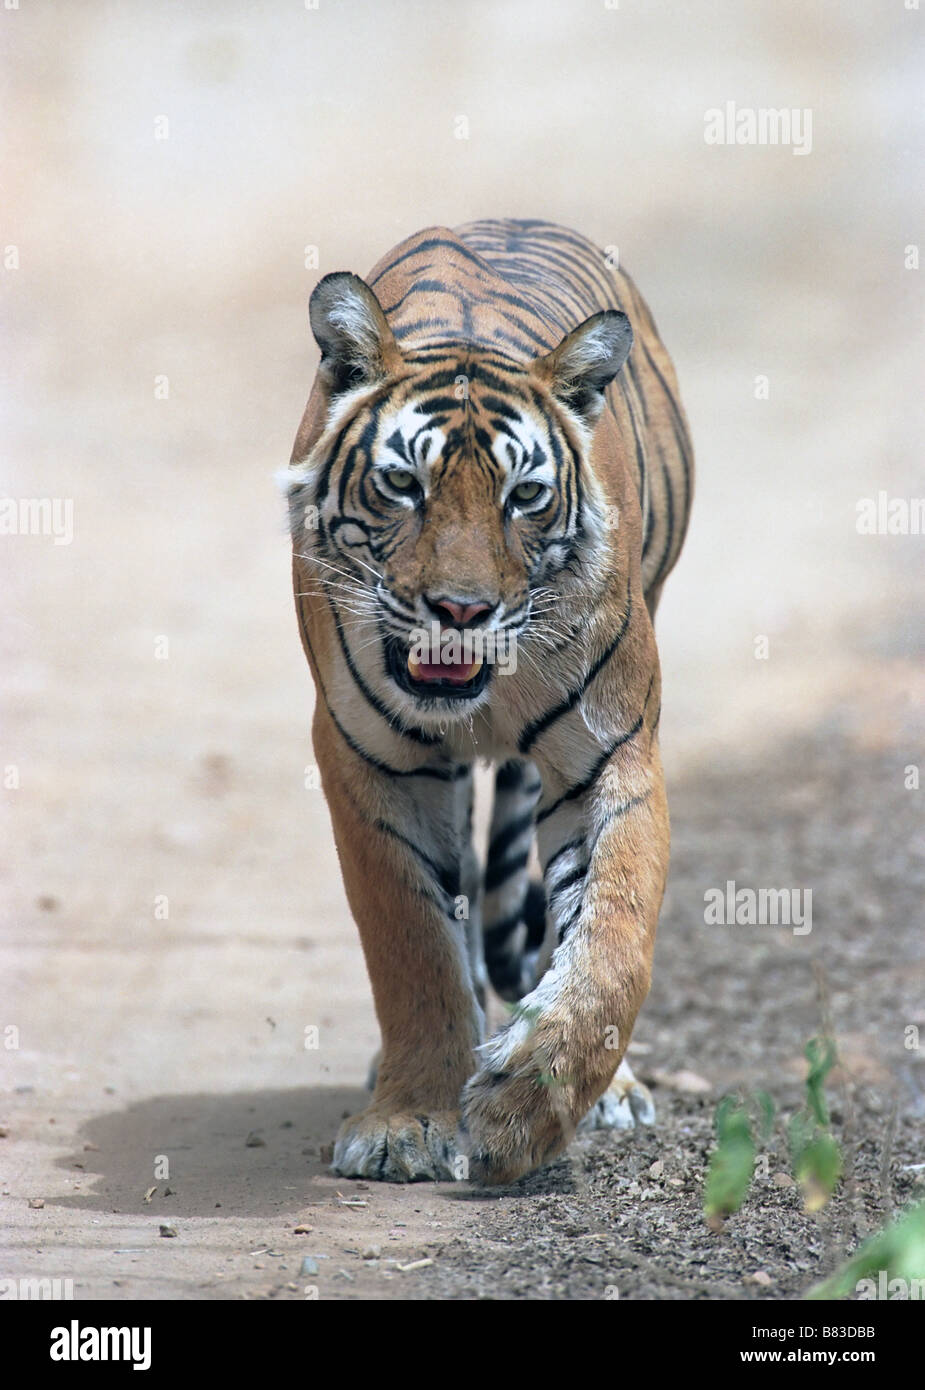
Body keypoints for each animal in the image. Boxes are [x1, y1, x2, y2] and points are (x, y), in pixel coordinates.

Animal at [283, 218, 693, 1184]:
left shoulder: (612, 754)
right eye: (403, 485)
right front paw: (407, 1122)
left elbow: (613, 936)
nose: (461, 610)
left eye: (524, 497)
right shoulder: (371, 763)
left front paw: (526, 1107)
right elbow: (413, 944)